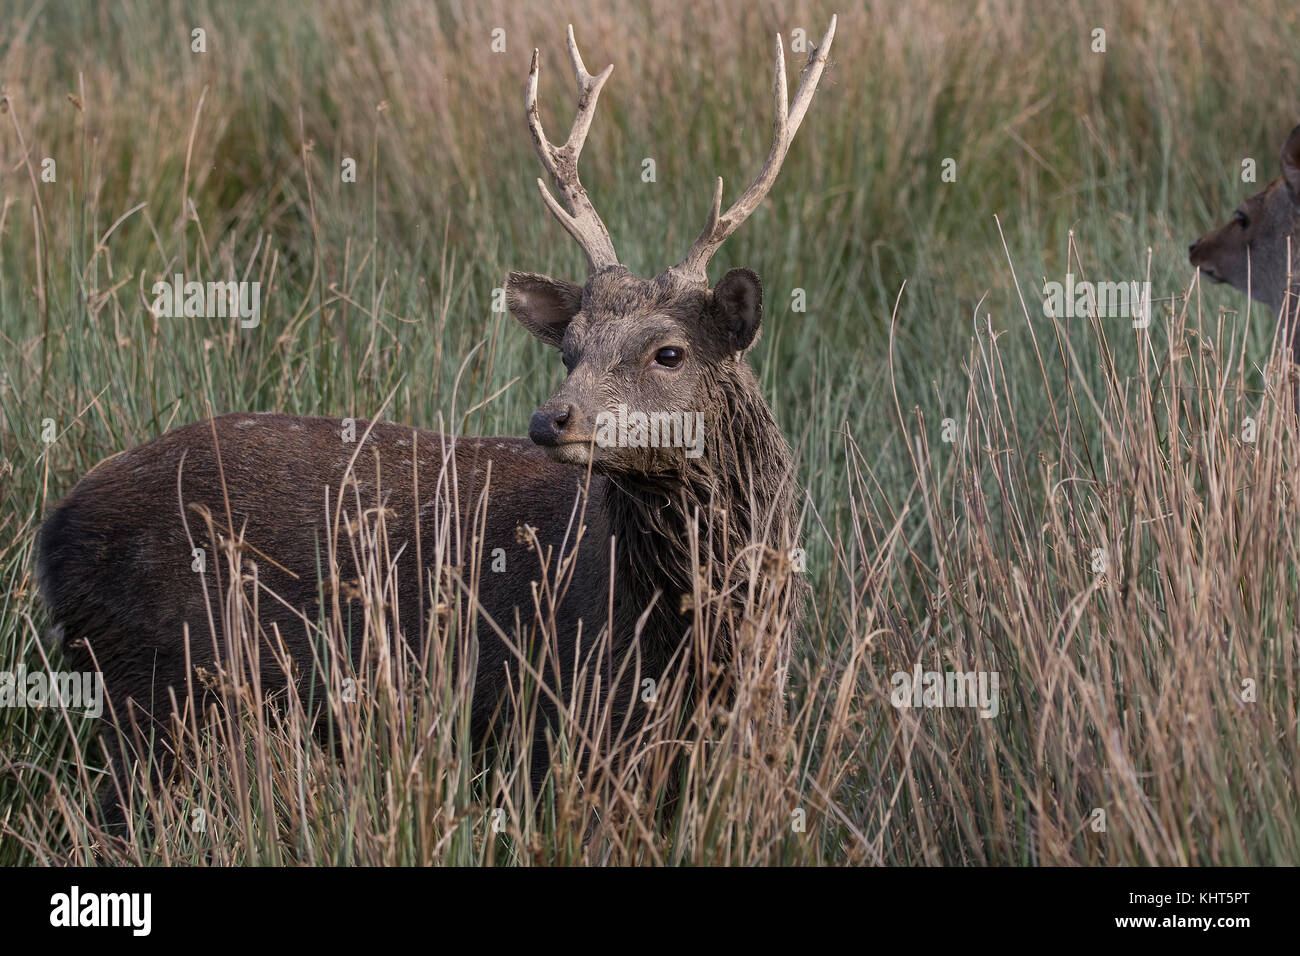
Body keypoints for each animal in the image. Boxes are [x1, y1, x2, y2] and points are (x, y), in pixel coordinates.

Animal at [36, 18, 834, 832]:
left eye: (668, 352)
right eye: (571, 347)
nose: (552, 418)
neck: (696, 625)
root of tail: (54, 534)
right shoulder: (571, 712)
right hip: (154, 682)